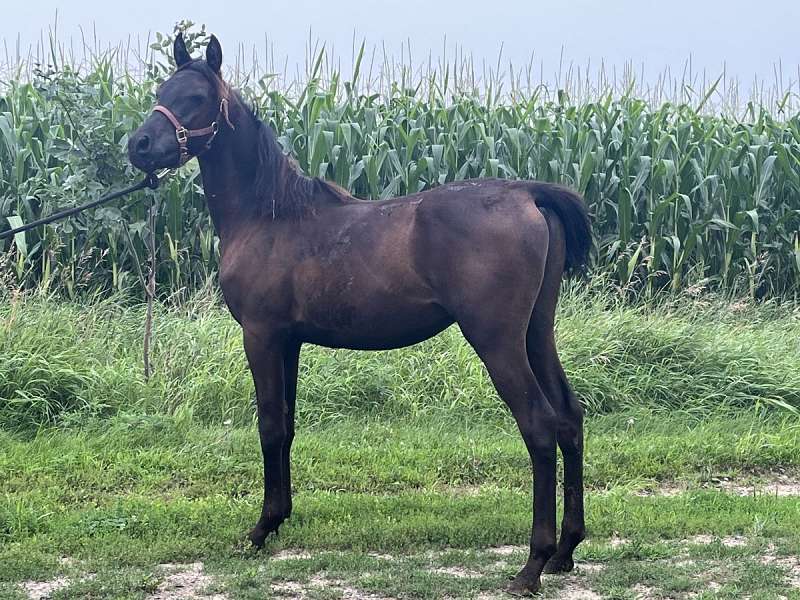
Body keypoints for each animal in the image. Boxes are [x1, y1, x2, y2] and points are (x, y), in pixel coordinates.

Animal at [128, 33, 591, 596]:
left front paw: (260, 529)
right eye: (162, 90)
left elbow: (268, 424)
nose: (138, 146)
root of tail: (527, 193)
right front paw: (279, 518)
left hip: (497, 341)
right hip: (535, 335)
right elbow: (287, 424)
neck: (269, 215)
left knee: (540, 426)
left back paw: (532, 565)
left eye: (195, 97)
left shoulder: (261, 337)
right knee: (569, 418)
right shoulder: (288, 341)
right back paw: (565, 550)